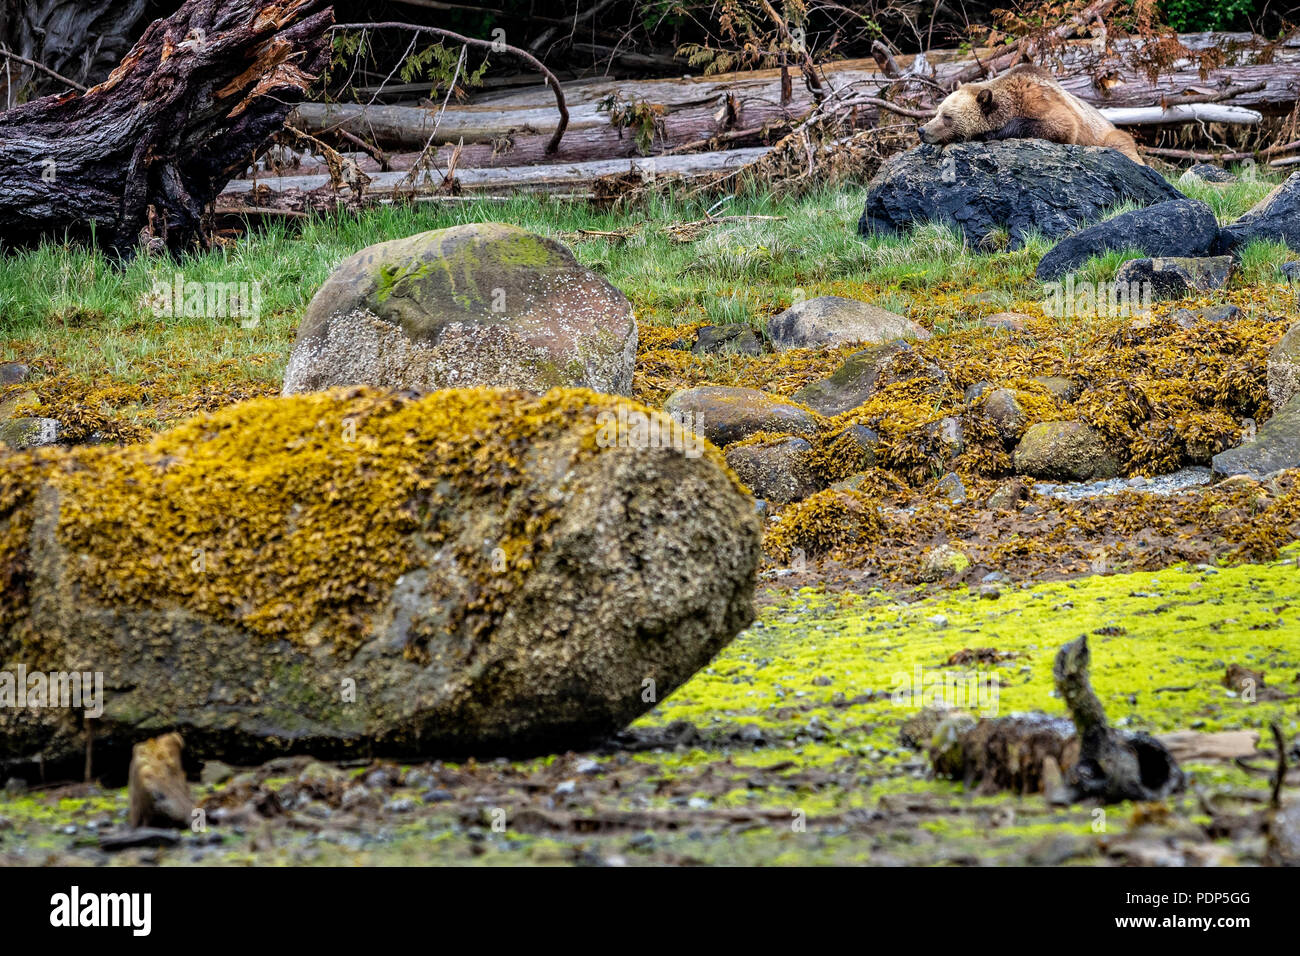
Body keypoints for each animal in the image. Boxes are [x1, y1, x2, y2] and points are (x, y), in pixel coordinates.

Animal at [917, 65, 1144, 165]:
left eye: (947, 117)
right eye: (937, 112)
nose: (921, 130)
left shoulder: (1042, 101)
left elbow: (1062, 125)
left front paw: (988, 134)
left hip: (1109, 134)